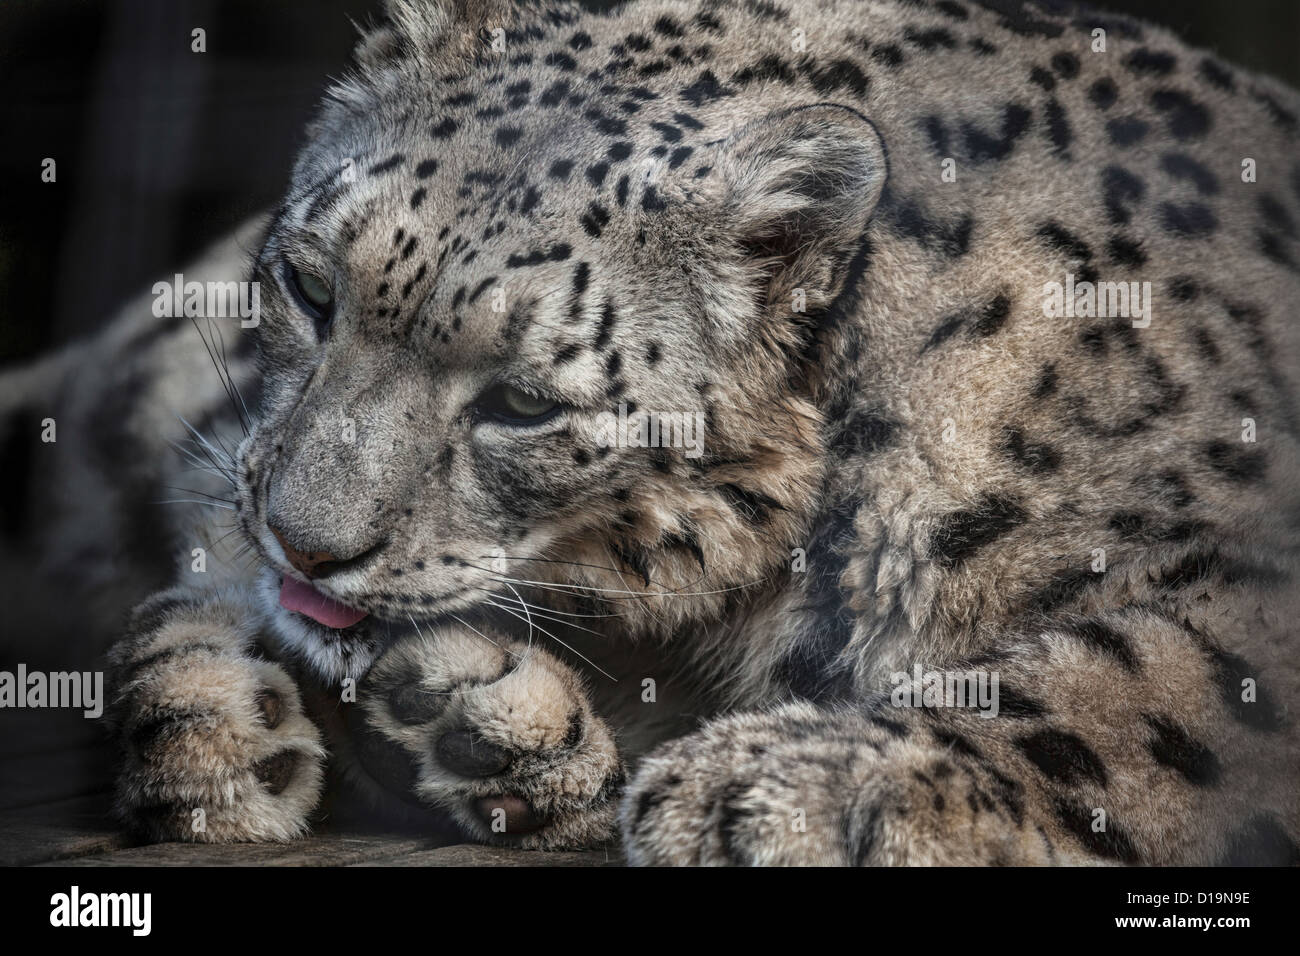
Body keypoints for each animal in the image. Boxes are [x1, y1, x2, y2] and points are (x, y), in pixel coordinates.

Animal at [5, 0, 1299, 865]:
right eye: (314, 288)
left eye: (525, 402)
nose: (305, 544)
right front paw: (221, 706)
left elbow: (1152, 683)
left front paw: (775, 791)